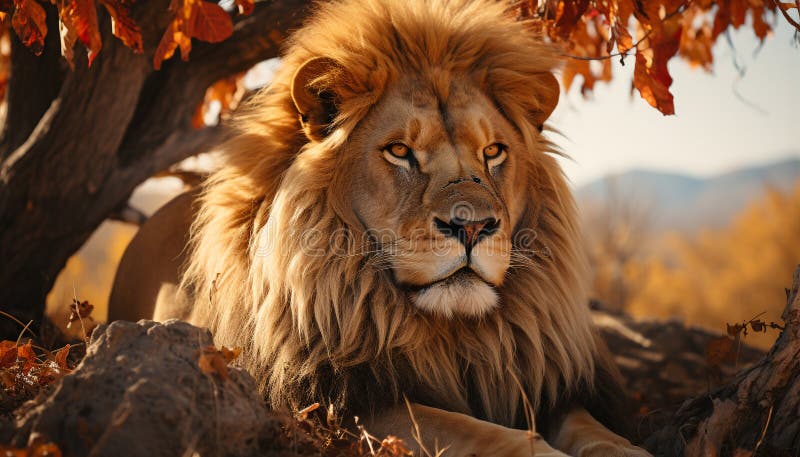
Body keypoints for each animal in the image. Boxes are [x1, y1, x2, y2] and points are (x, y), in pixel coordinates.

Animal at [109, 0, 651, 455]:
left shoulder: (543, 382)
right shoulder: (342, 402)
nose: (473, 226)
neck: (455, 335)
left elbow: (598, 434)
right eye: (399, 151)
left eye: (494, 152)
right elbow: (492, 436)